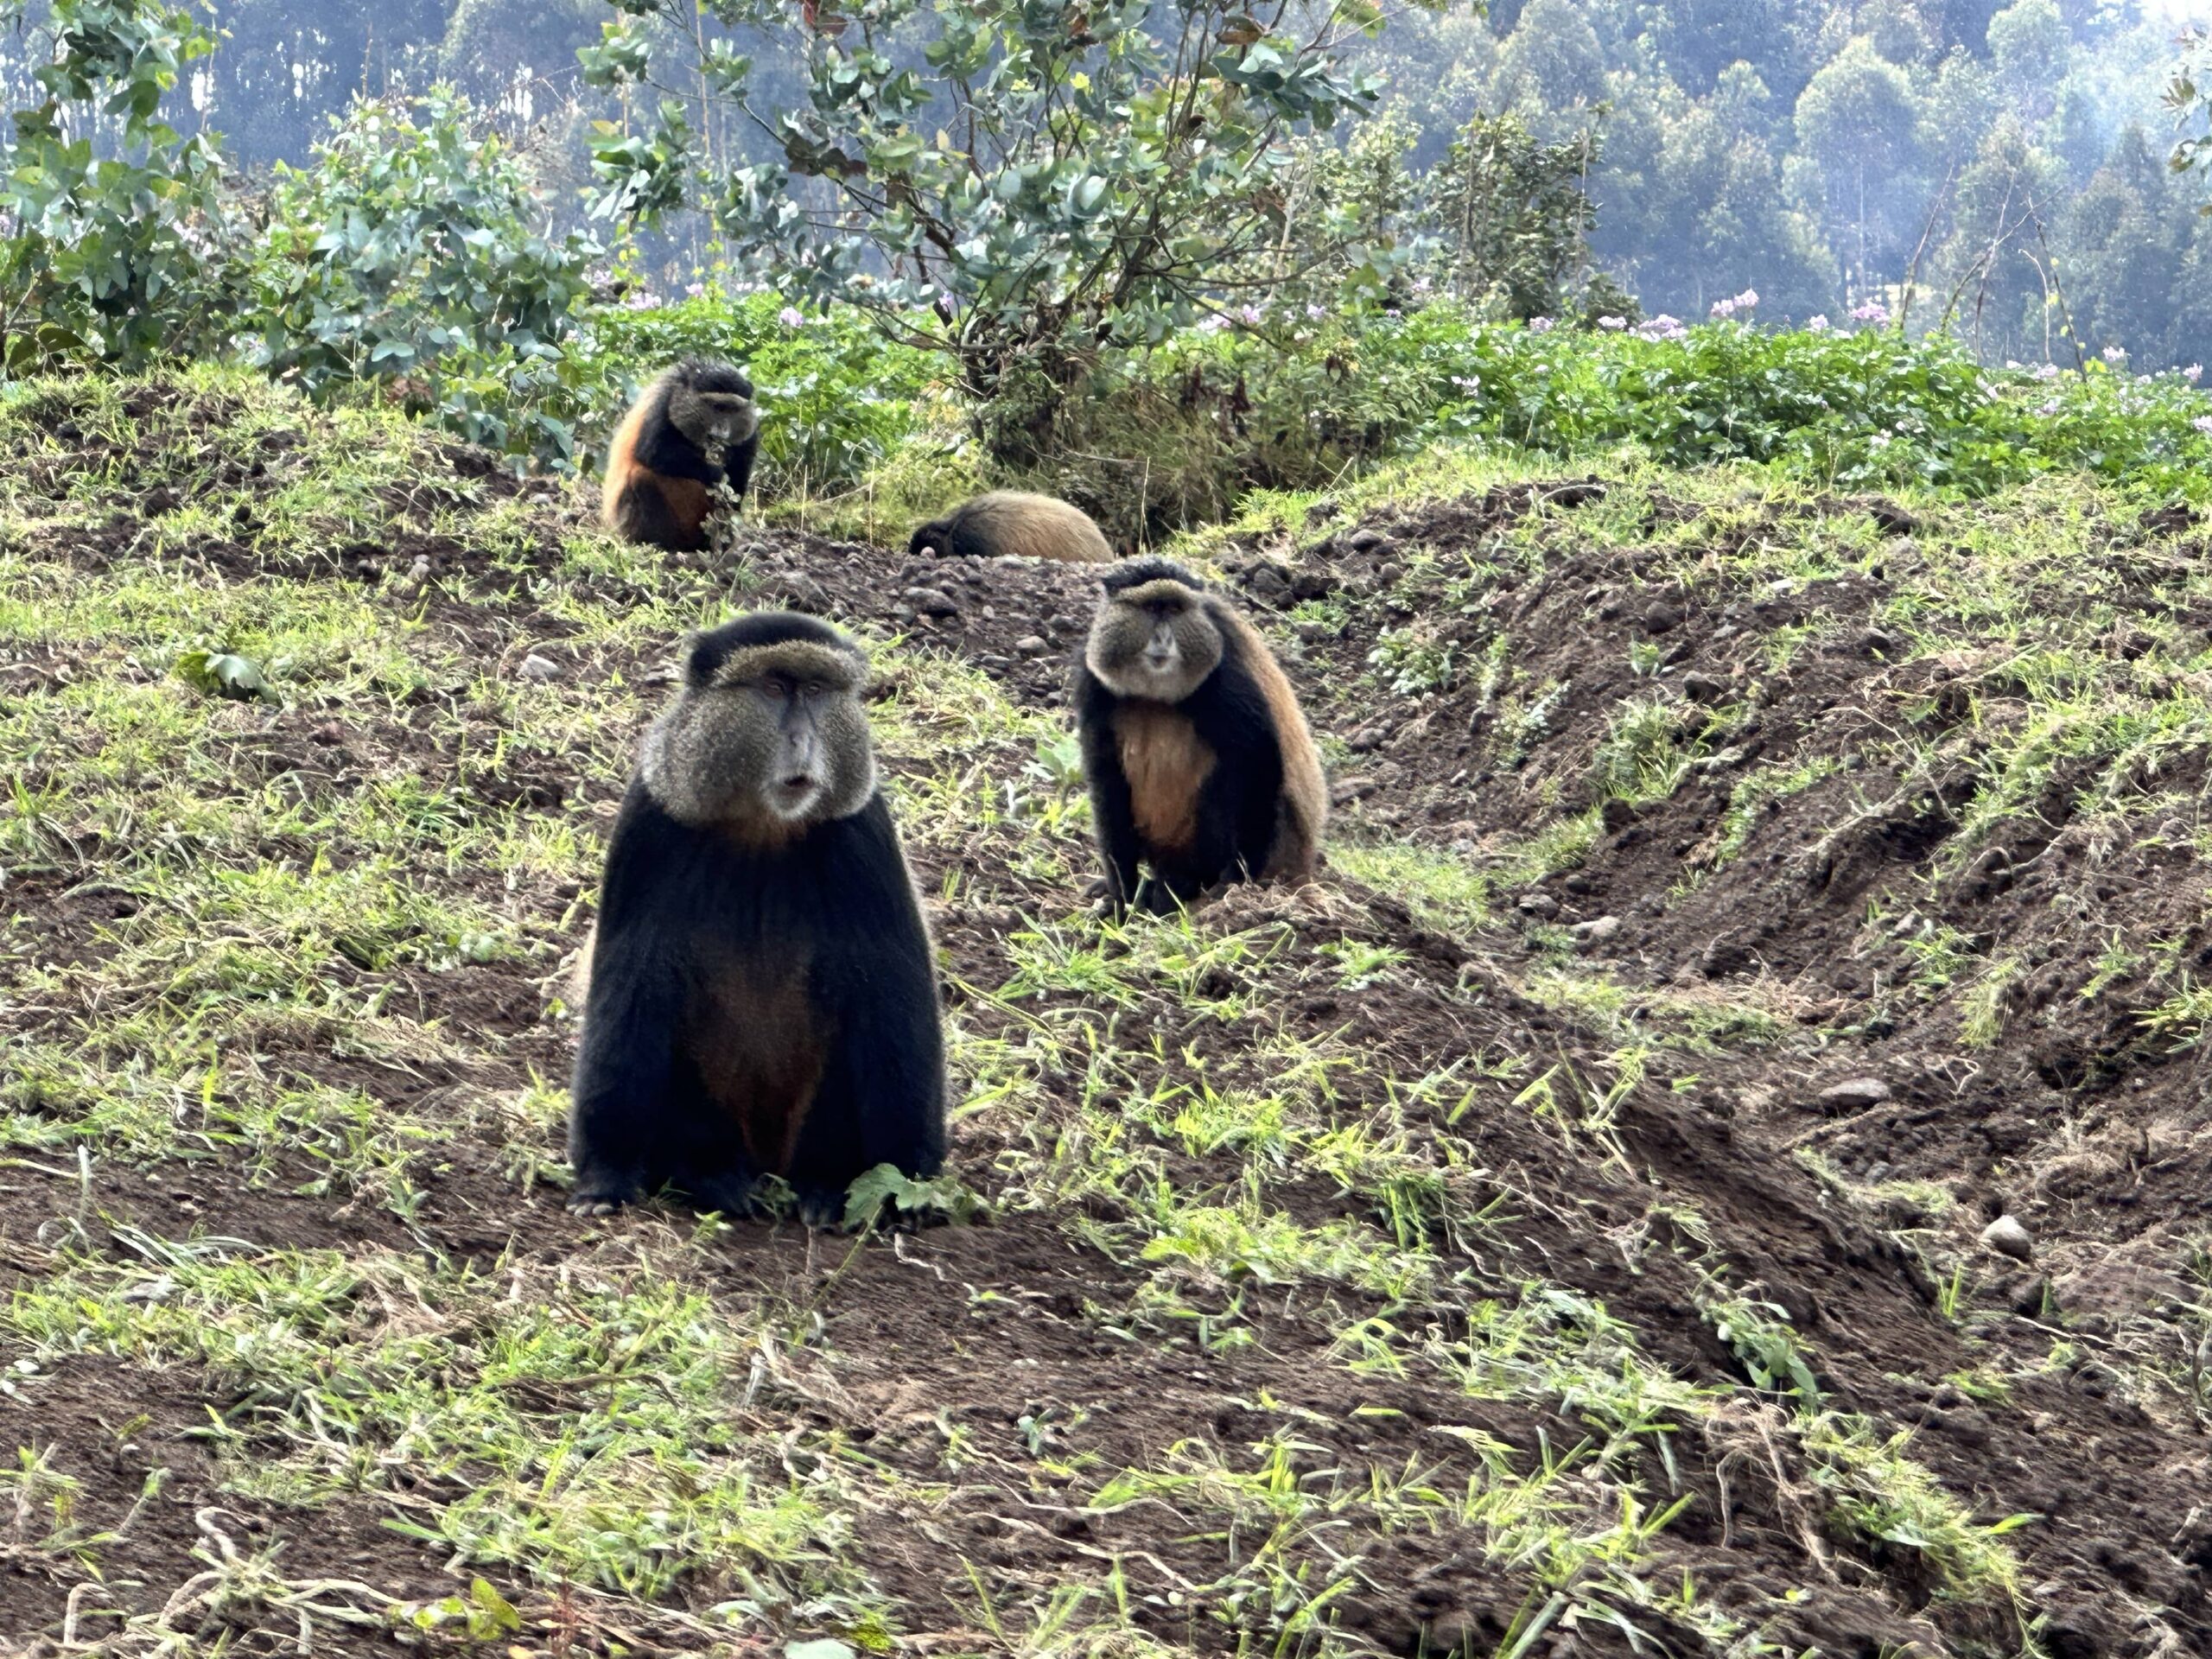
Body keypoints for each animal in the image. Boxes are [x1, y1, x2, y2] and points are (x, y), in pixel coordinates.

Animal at [566, 611, 947, 1226]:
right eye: (773, 688)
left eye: (814, 691)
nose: (802, 741)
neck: (763, 826)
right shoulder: (649, 818)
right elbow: (627, 988)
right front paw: (605, 1176)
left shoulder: (864, 831)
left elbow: (896, 994)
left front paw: (907, 1185)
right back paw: (712, 1176)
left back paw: (824, 1185)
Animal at [601, 358, 761, 552]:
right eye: (717, 407)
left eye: (732, 410)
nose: (722, 430)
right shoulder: (662, 403)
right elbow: (654, 452)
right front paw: (717, 474)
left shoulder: (749, 435)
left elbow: (738, 480)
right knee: (641, 478)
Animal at [1072, 557, 1327, 915]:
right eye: (1153, 608)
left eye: (1175, 609)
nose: (1163, 639)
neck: (1154, 693)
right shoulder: (1092, 680)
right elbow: (1105, 776)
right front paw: (1122, 897)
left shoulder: (1223, 672)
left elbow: (1257, 753)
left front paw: (1237, 881)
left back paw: (1183, 886)